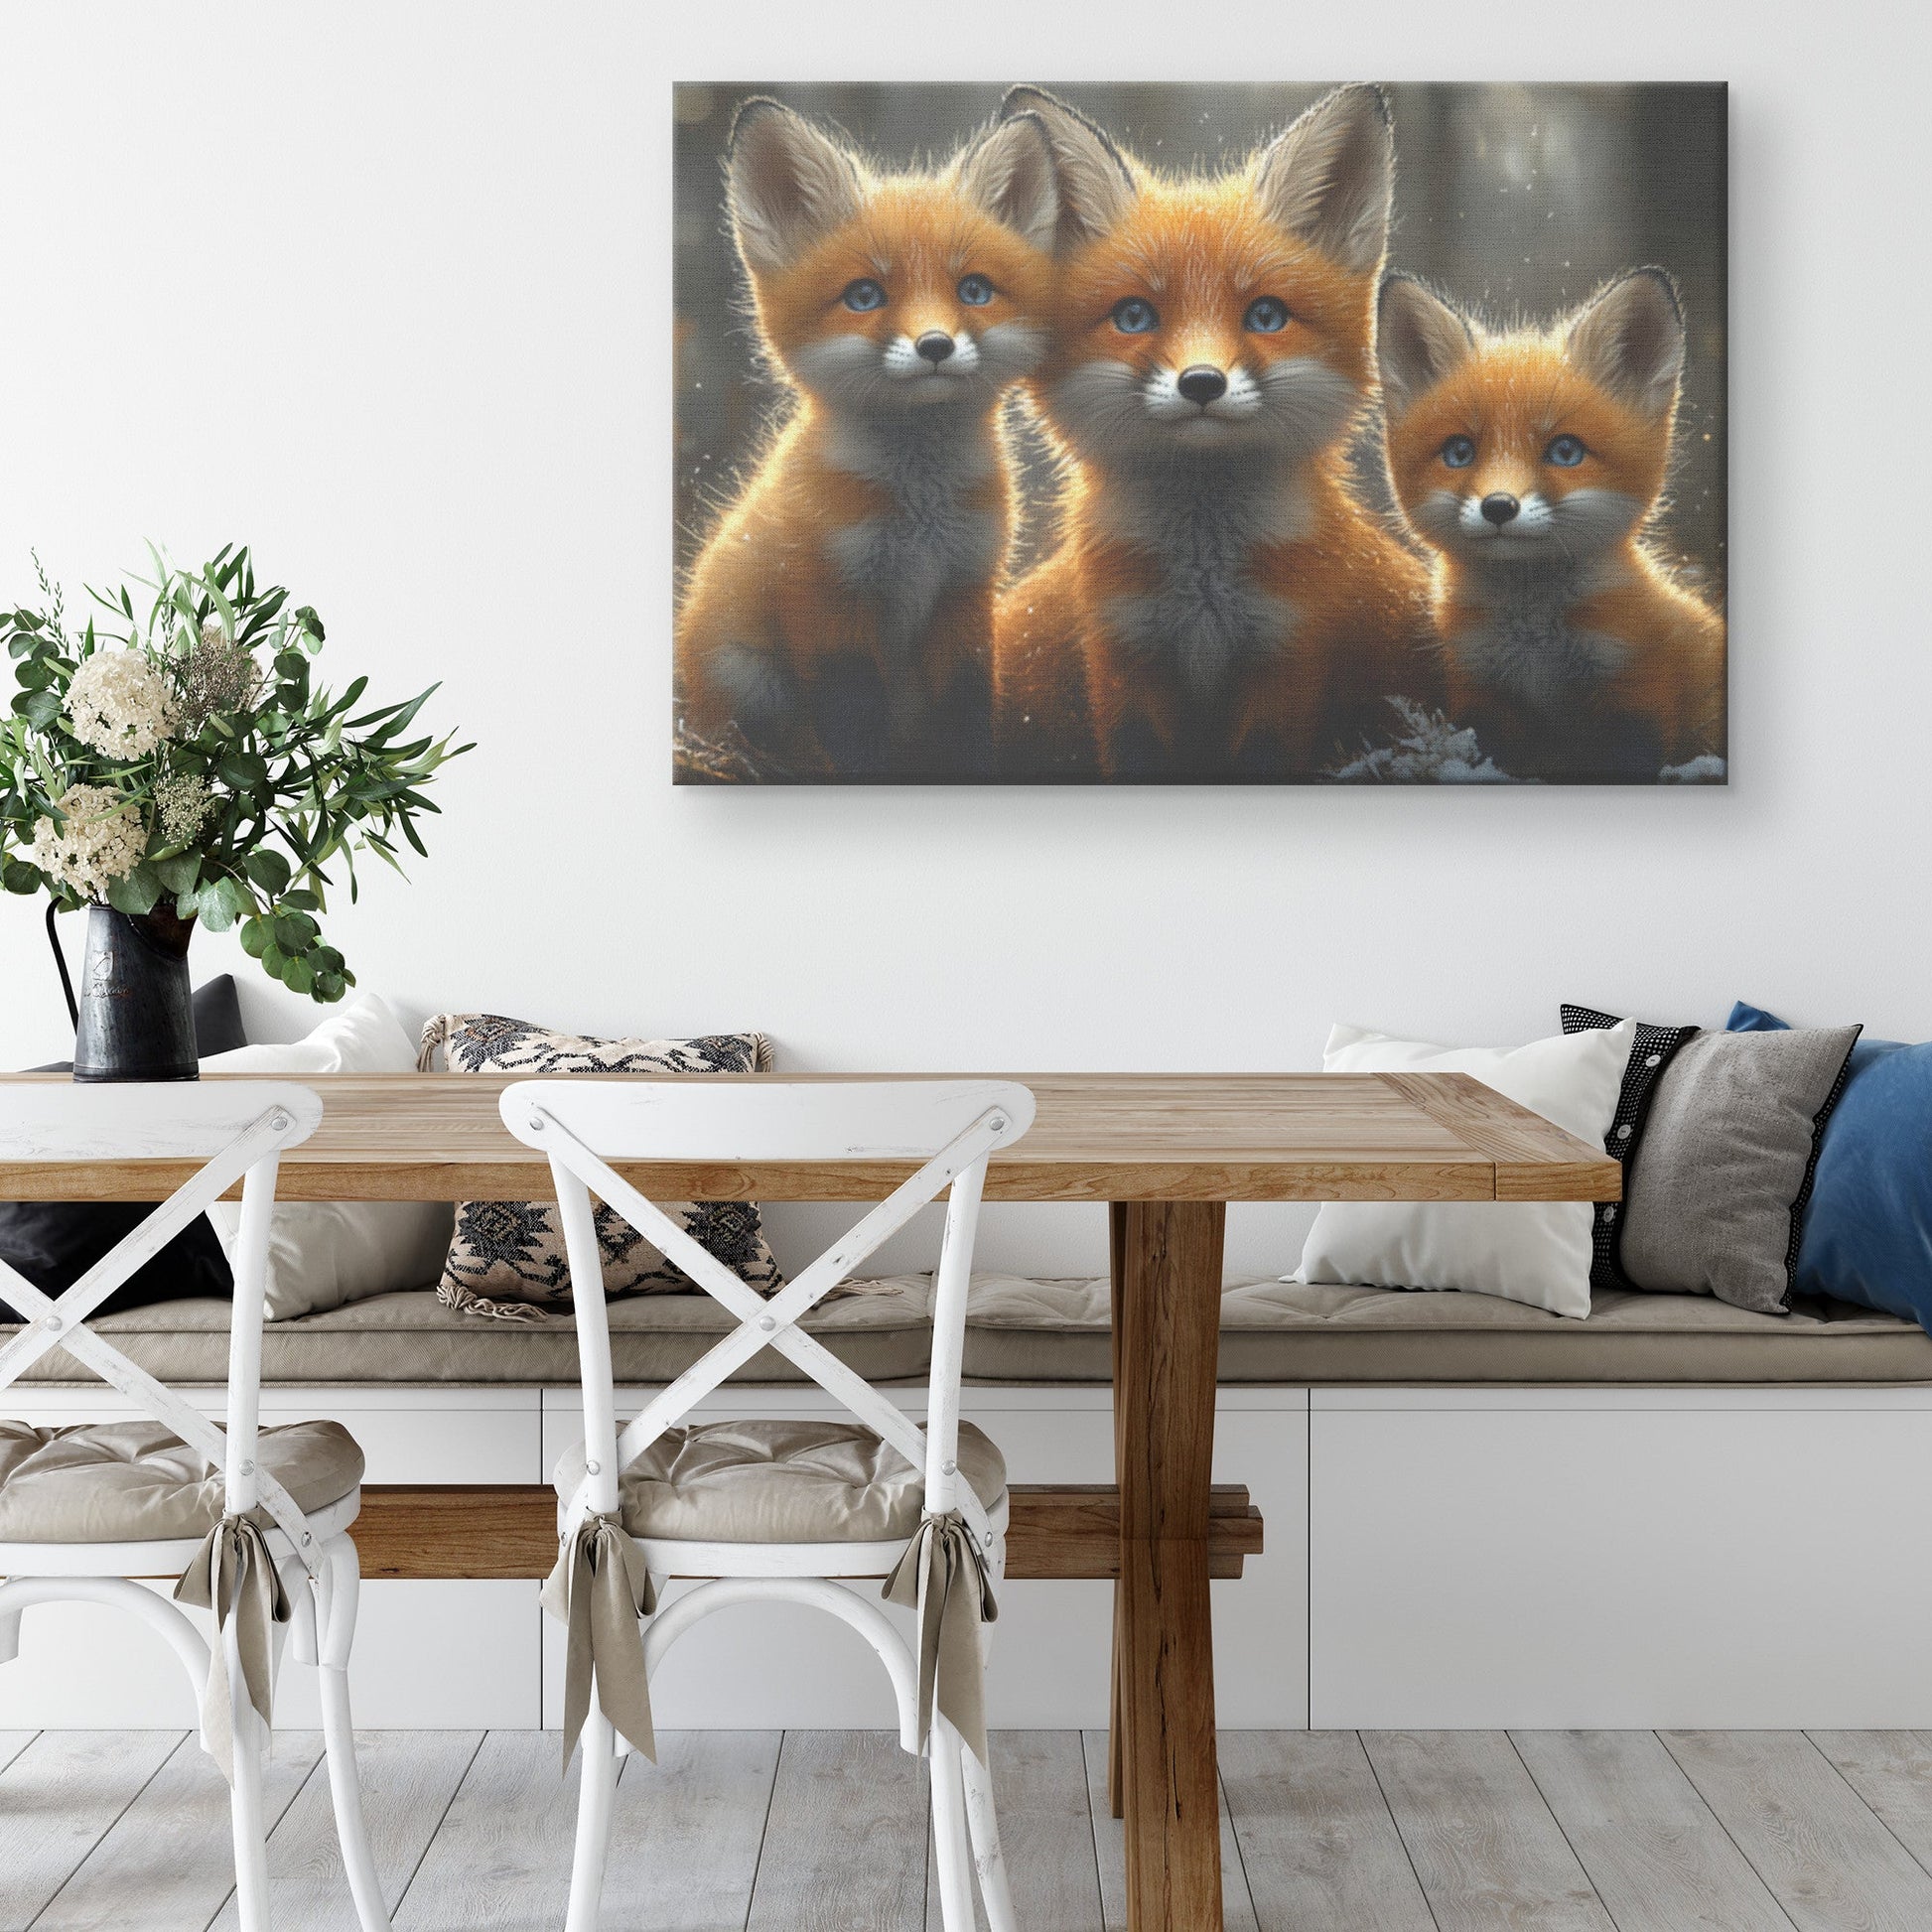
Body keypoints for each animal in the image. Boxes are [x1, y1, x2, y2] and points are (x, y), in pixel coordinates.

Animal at [675, 98, 1061, 780]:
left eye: (974, 290)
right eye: (864, 296)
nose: (934, 345)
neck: (919, 520)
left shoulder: (964, 596)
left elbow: (968, 719)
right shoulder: (828, 607)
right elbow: (855, 730)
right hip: (750, 680)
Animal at [990, 84, 1442, 780]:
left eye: (1265, 316)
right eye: (1134, 316)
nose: (1201, 382)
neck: (1203, 600)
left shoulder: (1286, 662)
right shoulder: (1124, 664)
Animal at [1377, 268, 1726, 780]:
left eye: (1565, 451)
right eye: (1459, 452)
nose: (1499, 506)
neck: (1535, 646)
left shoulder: (1636, 690)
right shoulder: (1480, 693)